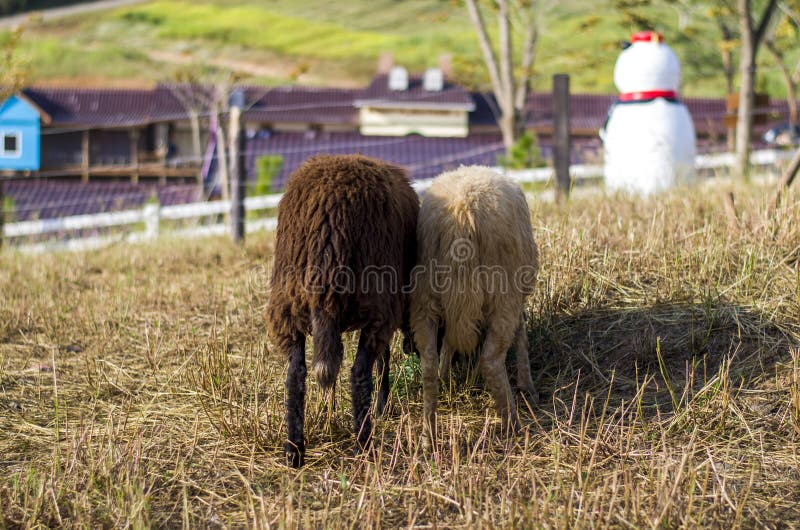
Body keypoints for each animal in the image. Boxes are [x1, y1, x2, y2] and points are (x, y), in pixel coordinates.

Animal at [267, 154, 419, 468]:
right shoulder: (389, 306)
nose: (413, 348)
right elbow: (382, 361)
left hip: (287, 304)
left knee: (295, 375)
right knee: (360, 373)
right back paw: (364, 445)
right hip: (375, 299)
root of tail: (328, 217)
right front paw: (383, 406)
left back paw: (294, 450)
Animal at [409, 165, 539, 440]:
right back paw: (513, 424)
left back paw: (428, 436)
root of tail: (460, 211)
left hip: (424, 296)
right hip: (503, 294)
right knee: (490, 361)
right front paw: (527, 386)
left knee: (428, 364)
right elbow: (521, 333)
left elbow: (449, 341)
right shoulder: (517, 297)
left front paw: (446, 373)